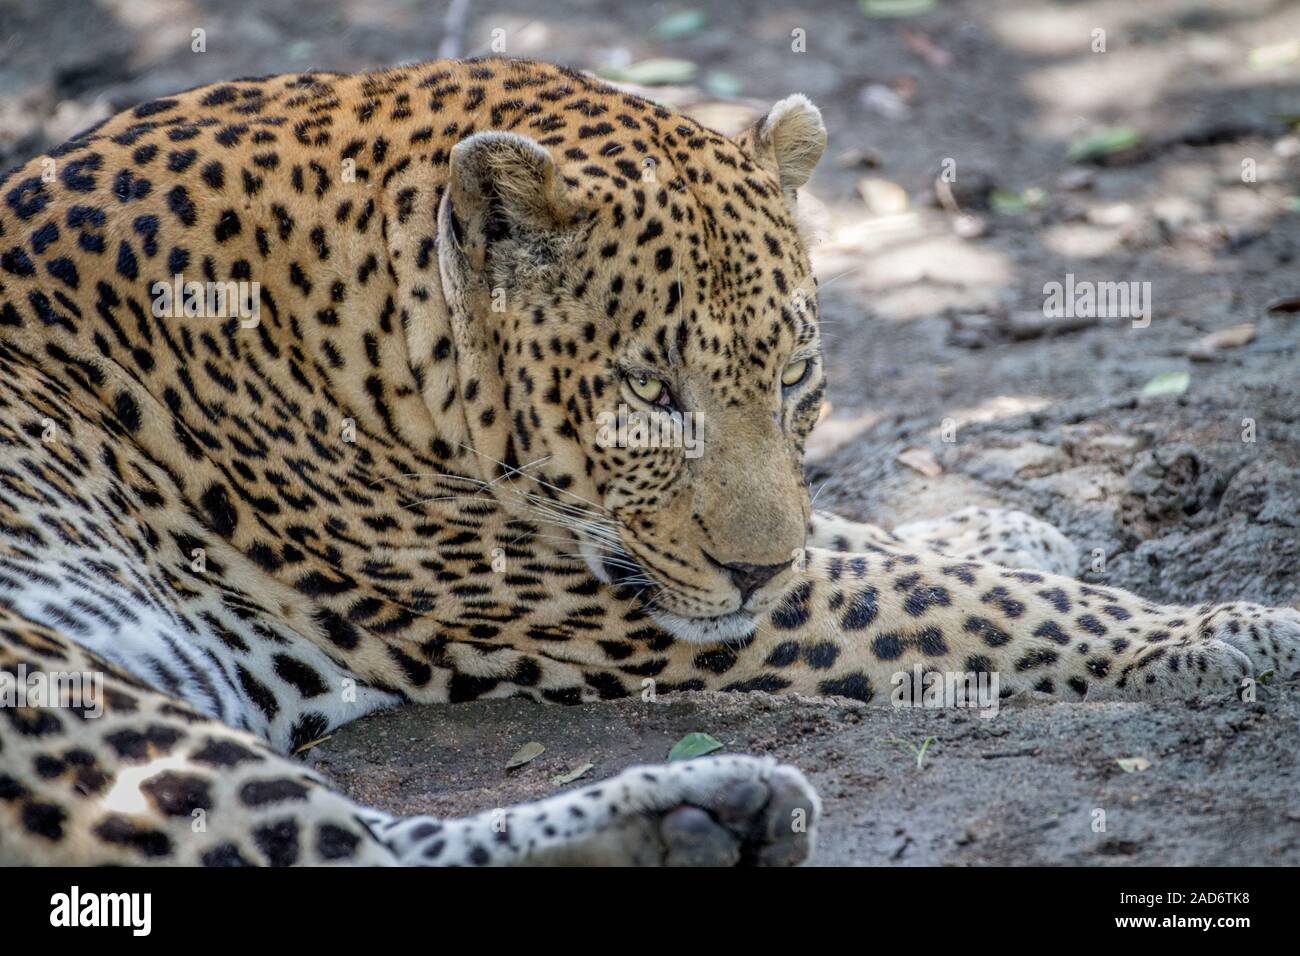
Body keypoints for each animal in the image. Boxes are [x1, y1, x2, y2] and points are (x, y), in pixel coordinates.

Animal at [0, 56, 1296, 867]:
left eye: (795, 373)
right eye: (647, 391)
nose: (754, 571)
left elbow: (871, 538)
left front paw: (1002, 524)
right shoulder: (578, 592)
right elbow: (954, 601)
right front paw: (1226, 627)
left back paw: (712, 812)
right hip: (65, 698)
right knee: (336, 849)